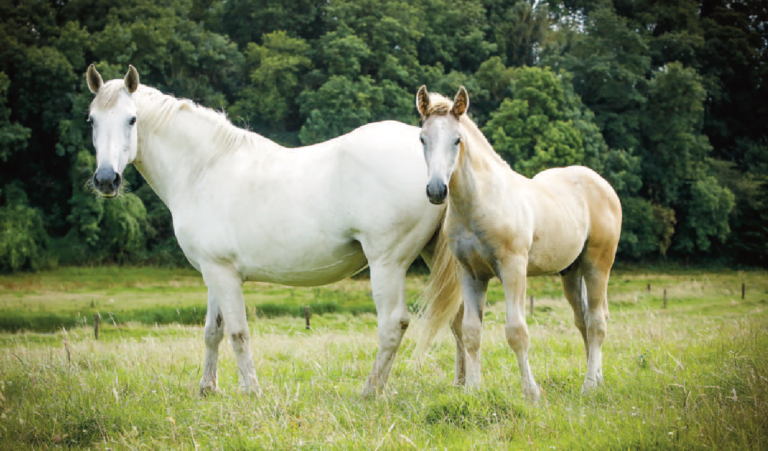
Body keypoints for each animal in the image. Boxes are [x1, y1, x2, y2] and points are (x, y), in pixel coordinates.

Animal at [83, 64, 457, 397]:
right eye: (92, 120)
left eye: (132, 119)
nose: (106, 180)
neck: (205, 168)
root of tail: (439, 168)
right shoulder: (213, 271)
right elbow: (212, 331)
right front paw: (207, 389)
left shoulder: (223, 274)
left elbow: (237, 333)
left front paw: (251, 391)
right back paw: (461, 385)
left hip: (387, 263)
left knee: (393, 324)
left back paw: (370, 391)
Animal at [413, 86, 622, 401]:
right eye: (423, 138)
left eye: (457, 139)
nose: (437, 190)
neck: (479, 203)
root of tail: (603, 185)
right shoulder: (470, 274)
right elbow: (471, 332)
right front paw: (474, 390)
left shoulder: (513, 268)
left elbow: (516, 331)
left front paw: (531, 393)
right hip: (572, 272)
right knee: (583, 320)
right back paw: (597, 380)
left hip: (598, 264)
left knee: (597, 322)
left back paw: (588, 387)